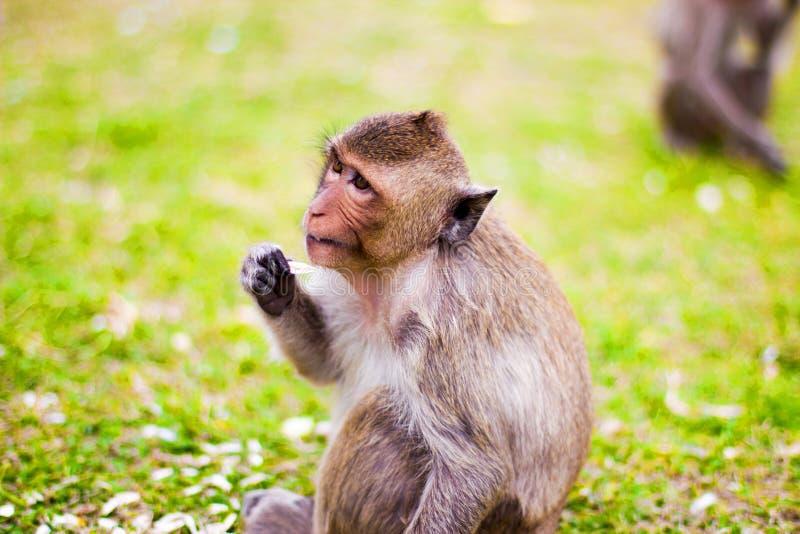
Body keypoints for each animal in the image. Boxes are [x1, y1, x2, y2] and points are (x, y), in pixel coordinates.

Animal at [239, 111, 592, 533]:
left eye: (360, 184)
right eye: (338, 167)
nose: (316, 210)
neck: (408, 268)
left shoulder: (442, 333)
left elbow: (474, 472)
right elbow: (323, 364)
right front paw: (269, 280)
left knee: (383, 412)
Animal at [656, 0, 797, 174]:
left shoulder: (755, 7)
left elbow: (766, 39)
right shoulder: (705, 9)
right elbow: (700, 73)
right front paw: (763, 145)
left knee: (759, 71)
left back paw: (738, 149)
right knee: (677, 76)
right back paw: (677, 135)